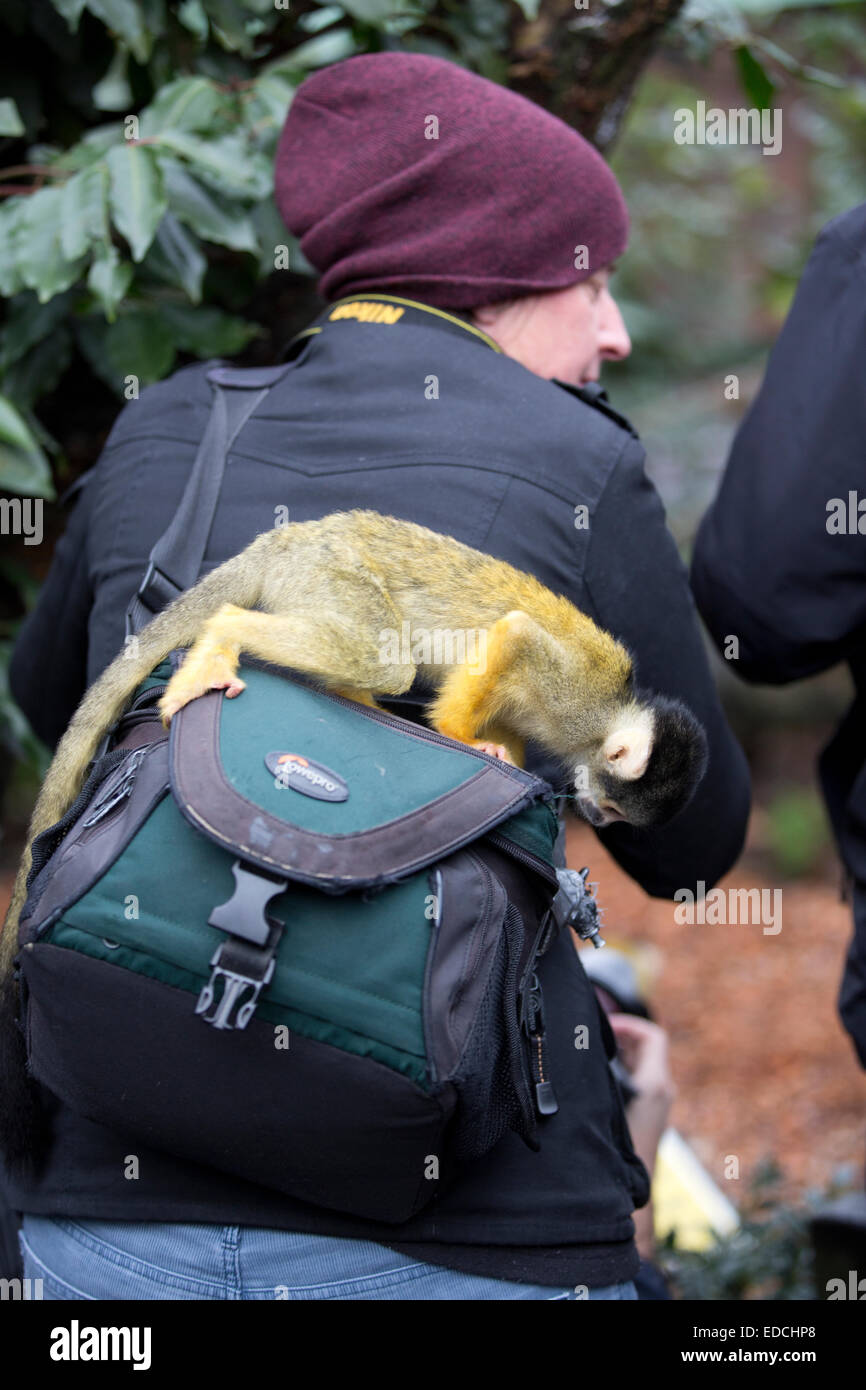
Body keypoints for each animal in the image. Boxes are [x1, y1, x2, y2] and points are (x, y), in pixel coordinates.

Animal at [1, 509, 708, 992]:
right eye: (611, 814)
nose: (593, 819)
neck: (606, 718)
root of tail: (291, 536)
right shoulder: (574, 692)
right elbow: (514, 637)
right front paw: (460, 739)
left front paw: (497, 751)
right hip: (331, 573)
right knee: (384, 659)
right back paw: (226, 632)